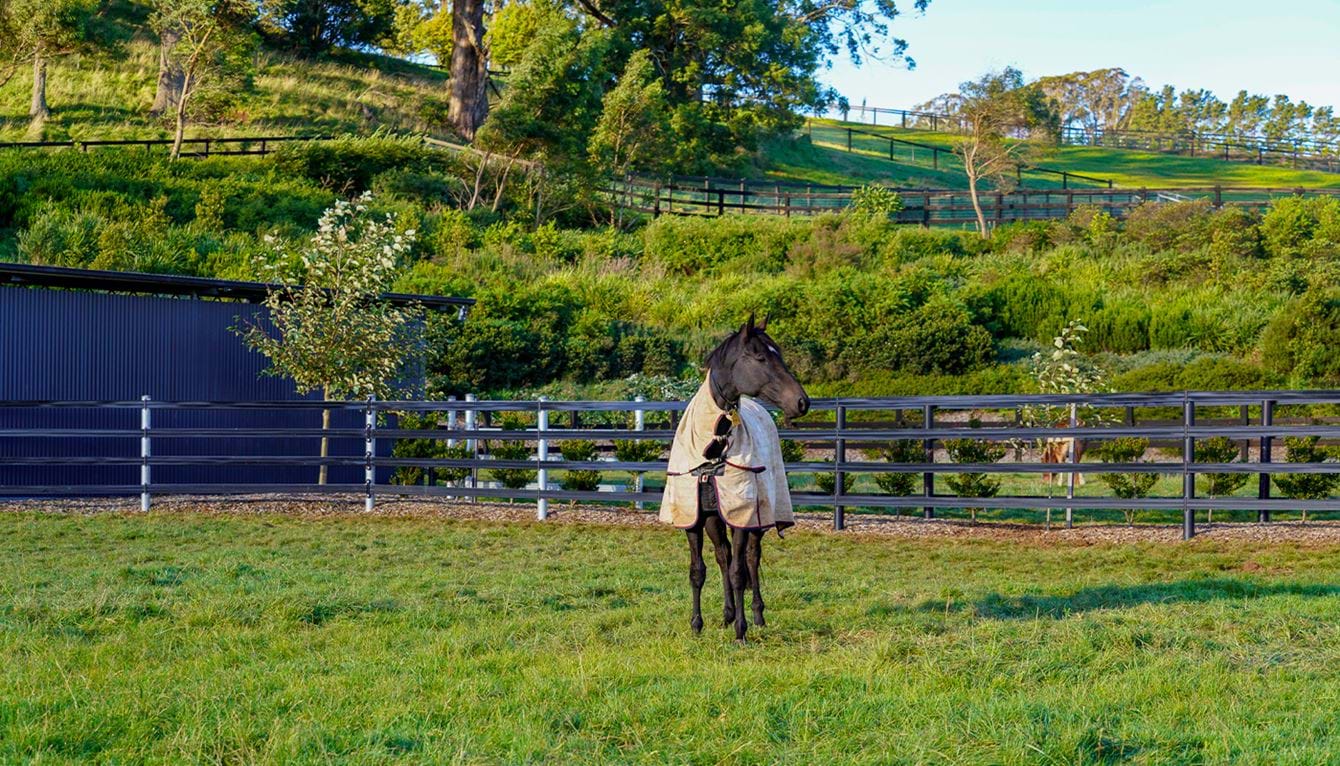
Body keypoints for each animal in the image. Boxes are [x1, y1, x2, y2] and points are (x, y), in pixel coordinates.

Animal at [659, 315, 810, 644]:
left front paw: (742, 631)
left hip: (757, 517)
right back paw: (727, 614)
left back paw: (756, 616)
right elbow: (699, 570)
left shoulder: (742, 516)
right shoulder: (695, 518)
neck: (712, 449)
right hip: (716, 519)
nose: (802, 402)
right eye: (760, 357)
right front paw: (697, 625)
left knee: (751, 559)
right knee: (723, 556)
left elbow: (741, 572)